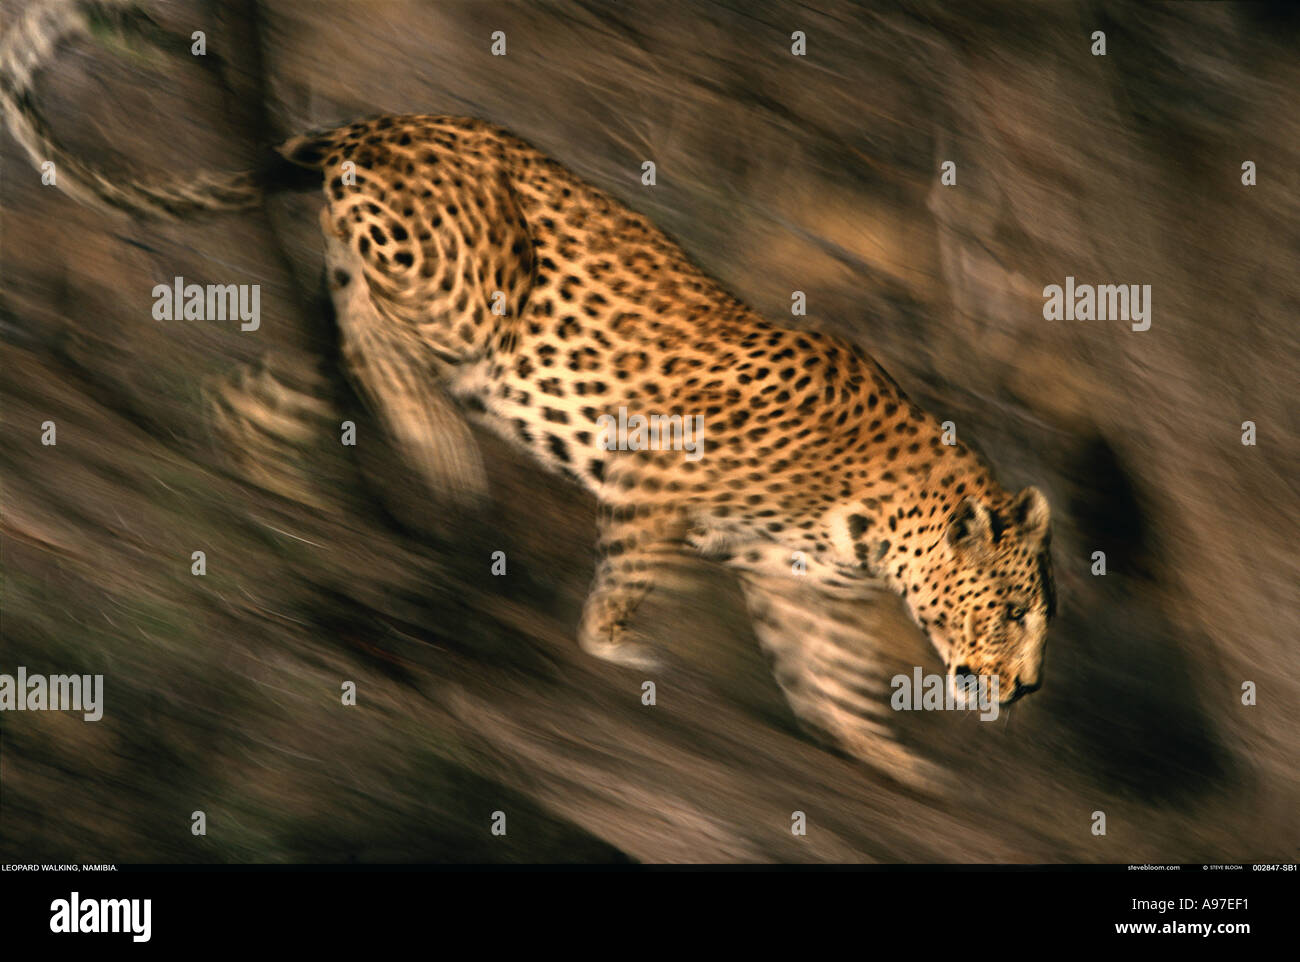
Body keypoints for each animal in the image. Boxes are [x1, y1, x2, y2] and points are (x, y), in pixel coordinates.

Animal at [4, 0, 1055, 789]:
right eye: (1012, 612)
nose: (1028, 691)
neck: (883, 515)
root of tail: (388, 119)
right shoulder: (659, 473)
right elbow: (637, 573)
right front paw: (614, 643)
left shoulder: (796, 582)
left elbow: (831, 679)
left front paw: (892, 762)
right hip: (476, 288)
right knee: (387, 333)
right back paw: (437, 448)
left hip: (365, 321)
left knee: (273, 382)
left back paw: (285, 483)